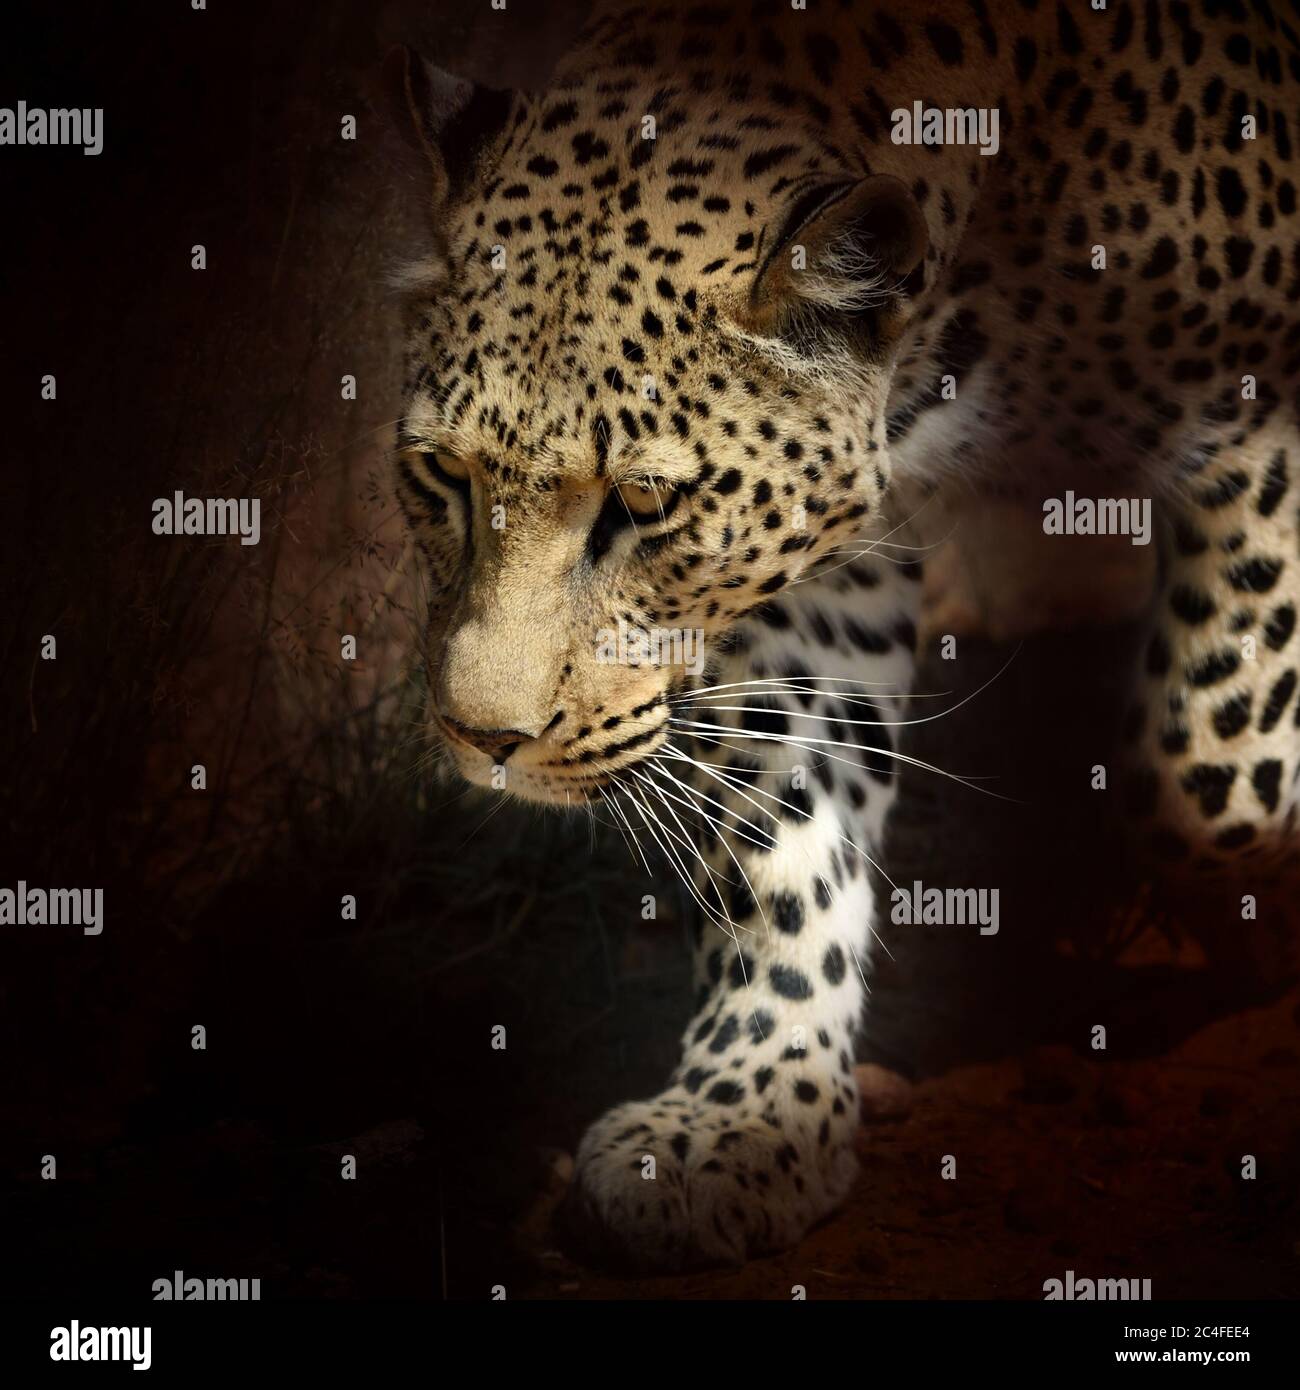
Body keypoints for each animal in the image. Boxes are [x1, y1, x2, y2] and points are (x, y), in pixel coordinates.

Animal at [384, 0, 1300, 1272]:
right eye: (444, 477)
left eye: (643, 506)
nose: (482, 740)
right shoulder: (823, 567)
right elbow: (785, 833)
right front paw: (749, 1111)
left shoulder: (1263, 407)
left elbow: (1211, 756)